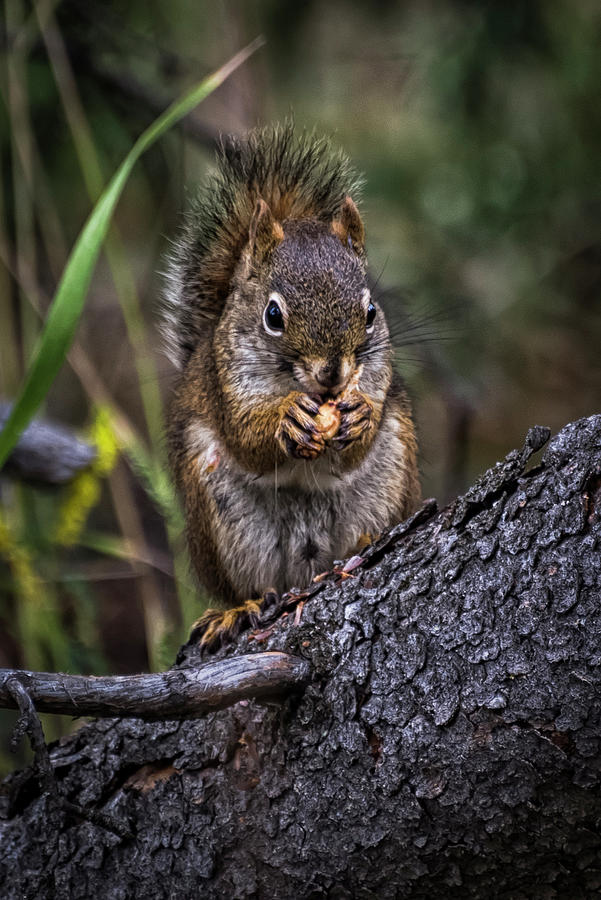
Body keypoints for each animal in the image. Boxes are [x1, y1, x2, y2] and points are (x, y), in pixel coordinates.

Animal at [163, 124, 421, 650]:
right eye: (273, 315)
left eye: (370, 312)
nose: (333, 374)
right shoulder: (225, 384)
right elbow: (247, 436)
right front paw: (287, 420)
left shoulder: (378, 378)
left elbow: (357, 442)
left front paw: (360, 415)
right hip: (221, 519)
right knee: (246, 586)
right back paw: (236, 609)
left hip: (392, 473)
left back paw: (369, 541)